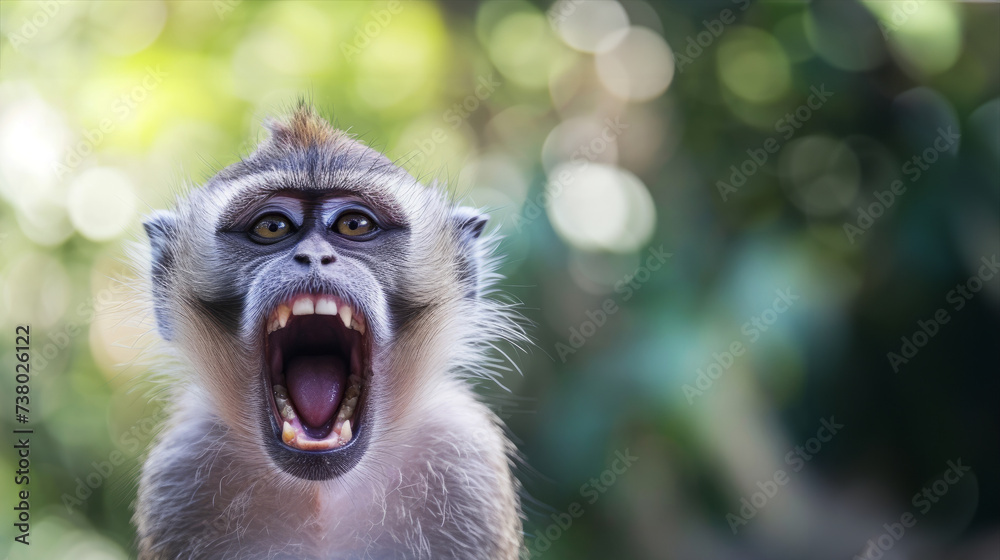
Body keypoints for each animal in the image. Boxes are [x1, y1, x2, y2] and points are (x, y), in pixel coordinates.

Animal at [133, 104, 527, 559]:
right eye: (272, 227)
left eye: (354, 224)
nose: (314, 256)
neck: (322, 493)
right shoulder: (180, 470)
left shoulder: (466, 463)